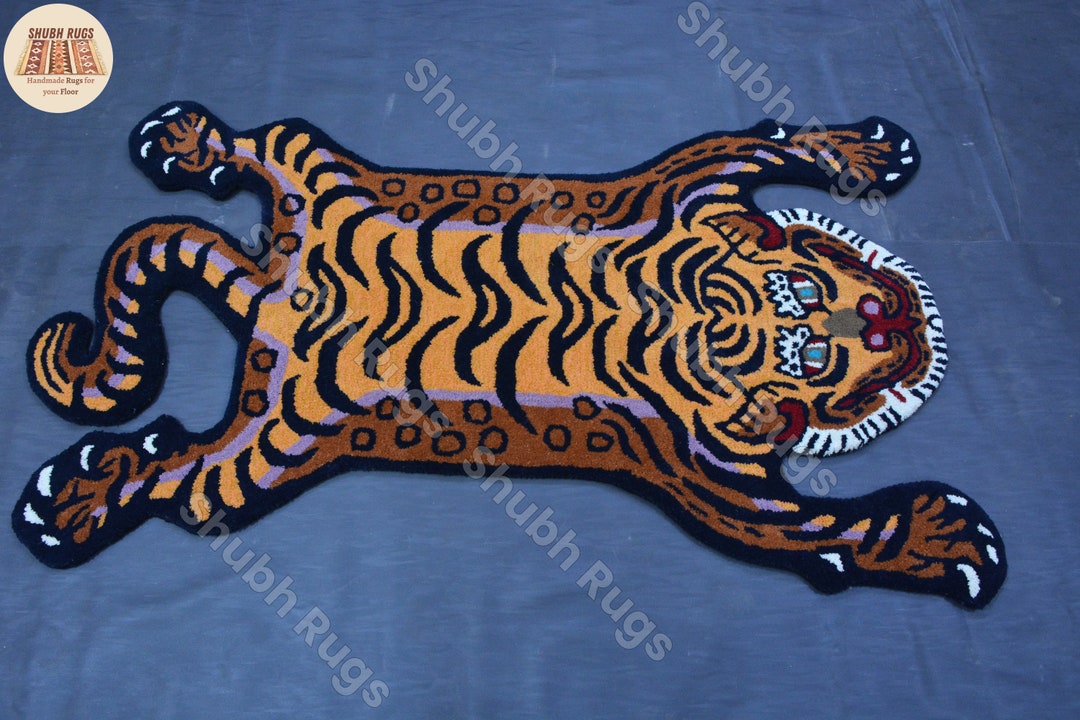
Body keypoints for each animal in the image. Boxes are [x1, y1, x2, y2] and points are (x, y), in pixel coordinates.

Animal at [13, 101, 1006, 609]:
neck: (683, 312)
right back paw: (75, 498)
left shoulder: (707, 188)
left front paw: (860, 150)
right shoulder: (721, 484)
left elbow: (783, 141)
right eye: (804, 326)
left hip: (308, 200)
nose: (896, 325)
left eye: (815, 292)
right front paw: (941, 537)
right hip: (264, 442)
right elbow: (842, 531)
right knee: (175, 476)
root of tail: (268, 290)